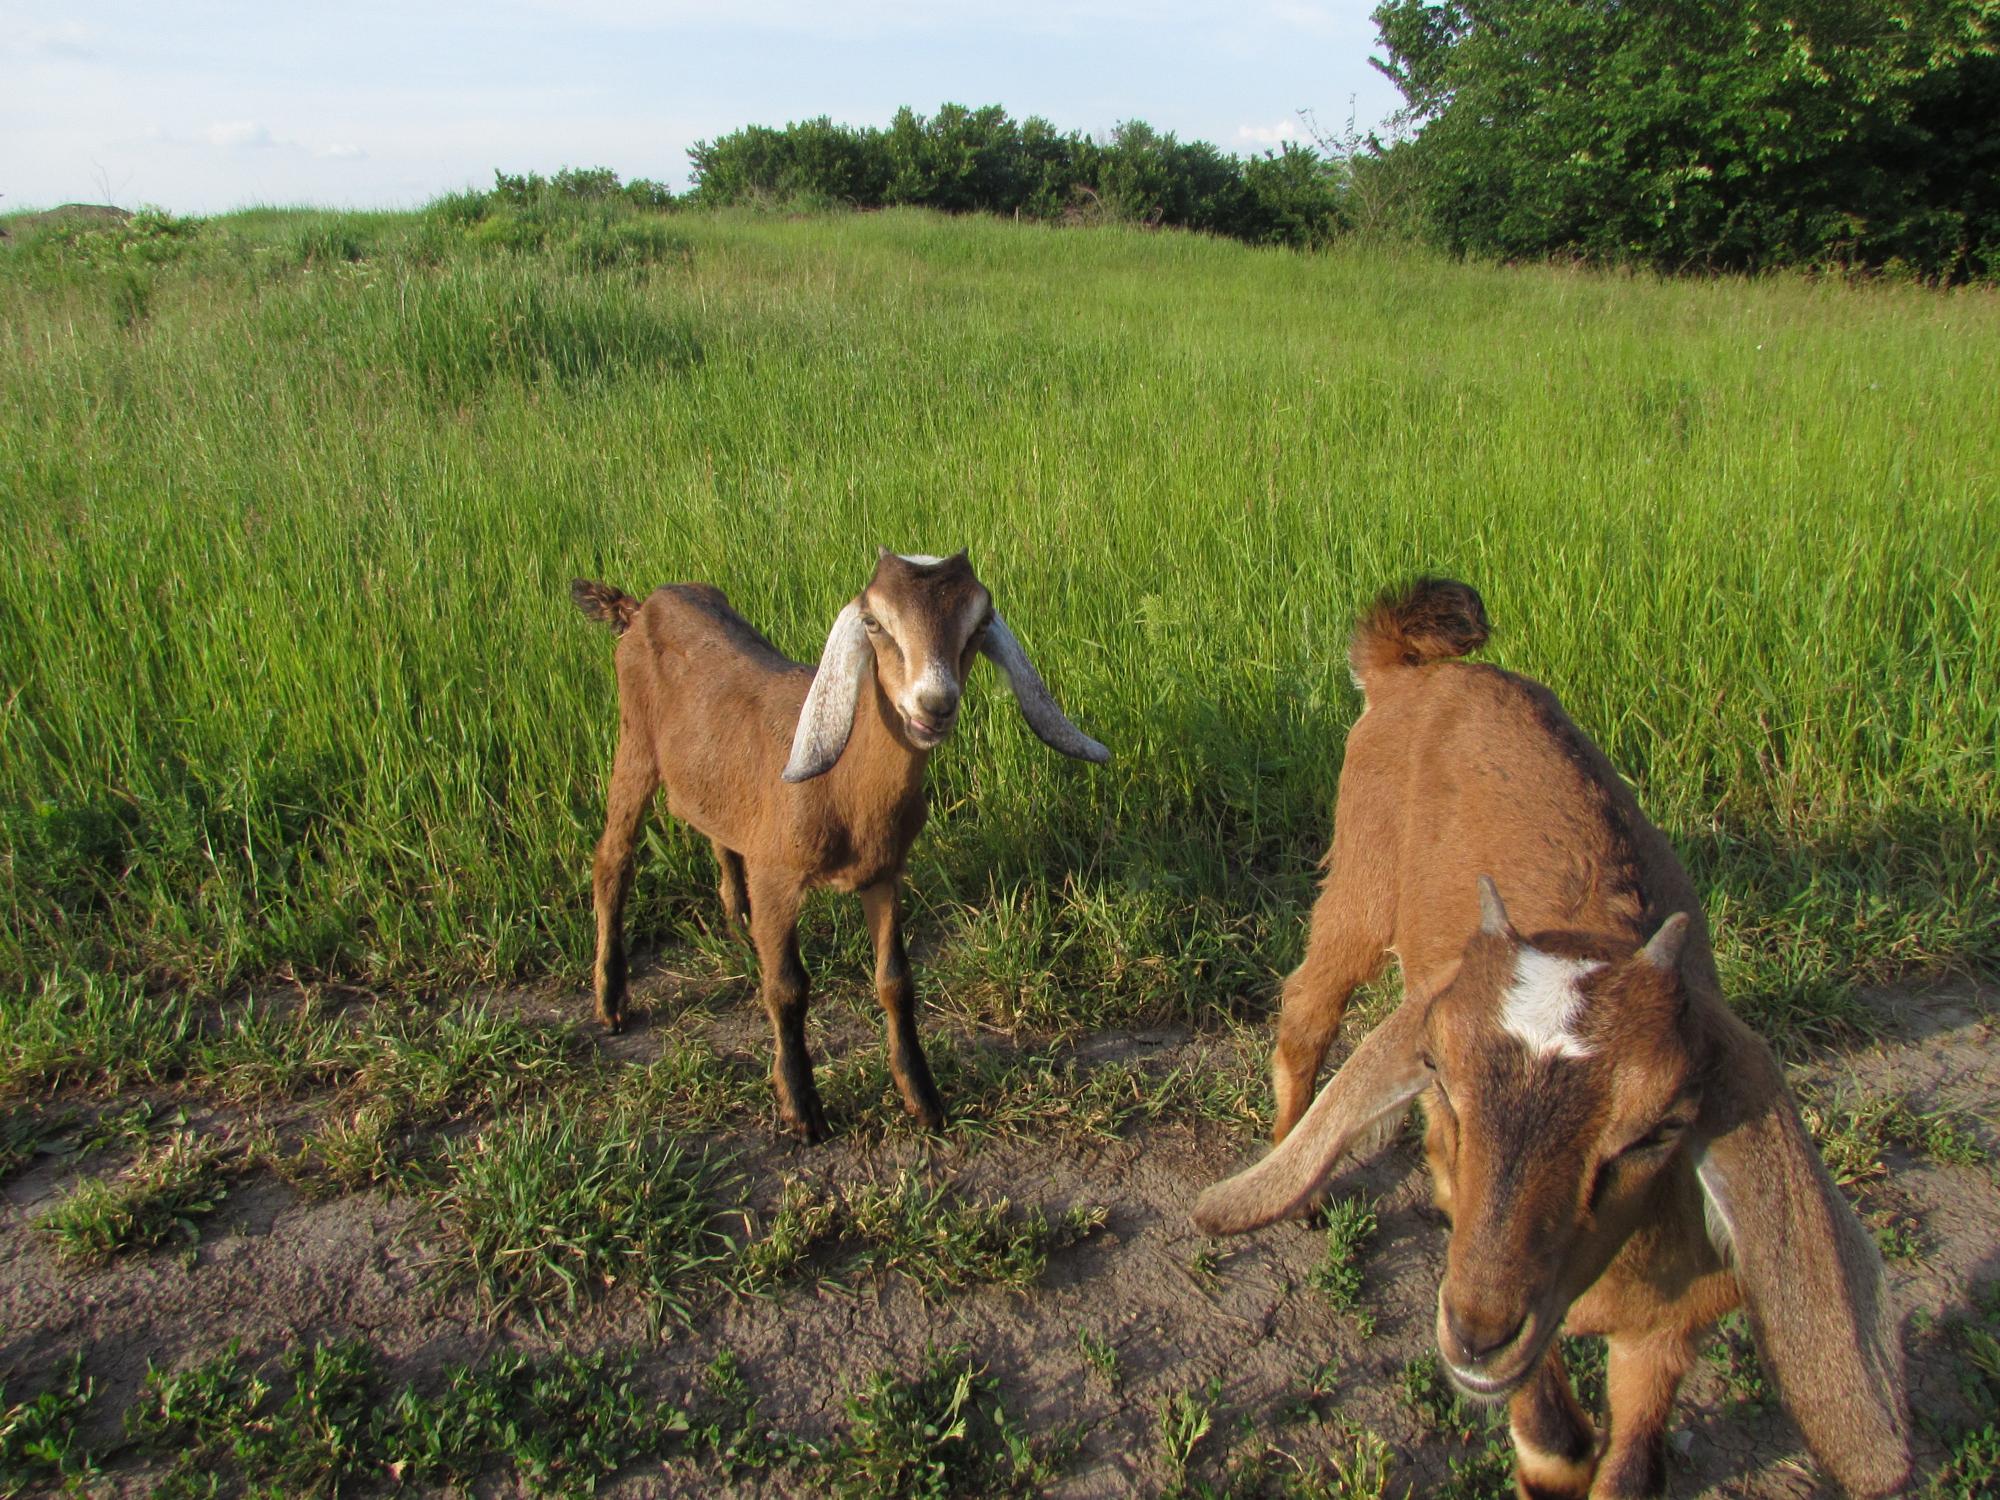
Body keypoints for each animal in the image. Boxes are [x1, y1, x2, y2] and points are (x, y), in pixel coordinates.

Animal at [572, 548, 1112, 1144]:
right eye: (875, 623)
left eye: (979, 624)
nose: (935, 704)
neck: (843, 790)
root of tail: (639, 606)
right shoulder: (776, 873)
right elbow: (786, 988)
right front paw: (801, 1107)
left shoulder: (884, 872)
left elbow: (895, 981)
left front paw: (923, 1098)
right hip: (635, 745)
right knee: (611, 860)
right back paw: (611, 999)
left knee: (711, 829)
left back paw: (738, 926)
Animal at [1184, 580, 1904, 1500]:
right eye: (1440, 1072)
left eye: (1663, 1127)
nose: (1478, 1332)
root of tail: (1415, 670)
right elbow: (1556, 1446)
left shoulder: (1670, 1324)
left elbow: (1635, 1465)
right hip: (1362, 872)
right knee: (1309, 1004)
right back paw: (1296, 1173)